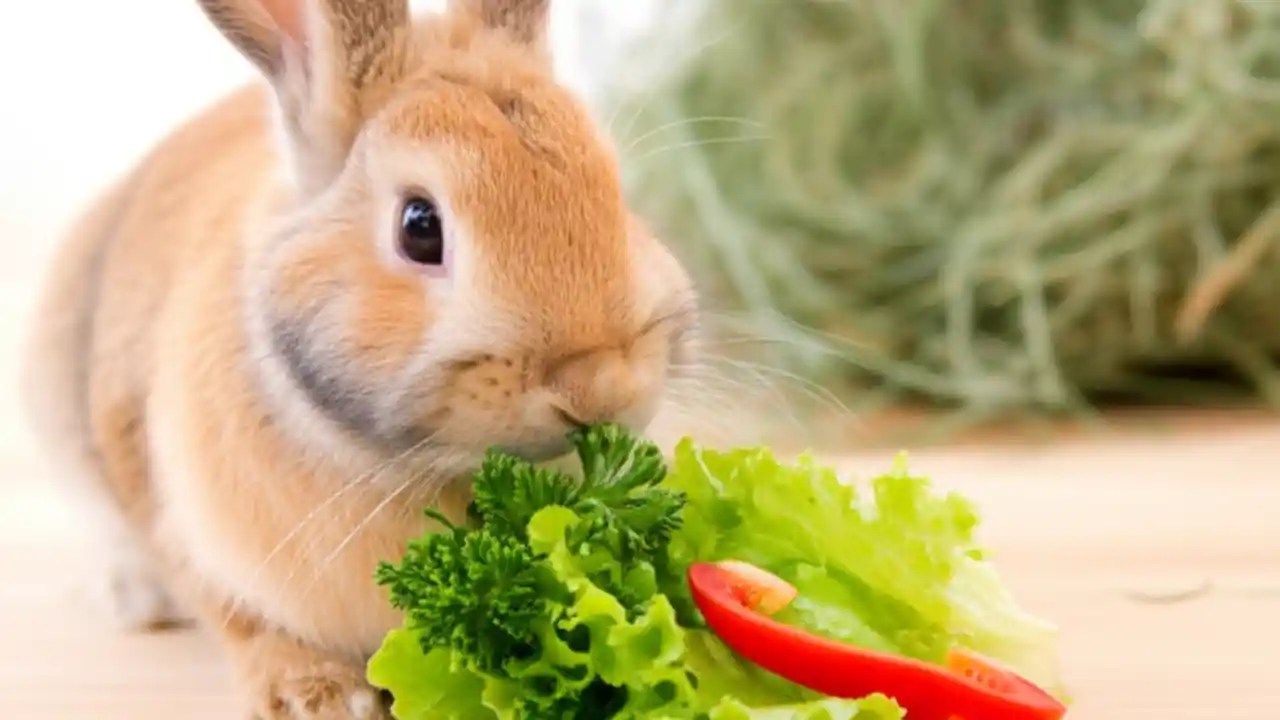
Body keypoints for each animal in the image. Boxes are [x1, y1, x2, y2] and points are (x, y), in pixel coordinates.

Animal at [20, 0, 699, 717]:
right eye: (419, 226)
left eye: (618, 193)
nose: (599, 386)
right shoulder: (185, 523)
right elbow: (241, 618)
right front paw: (314, 696)